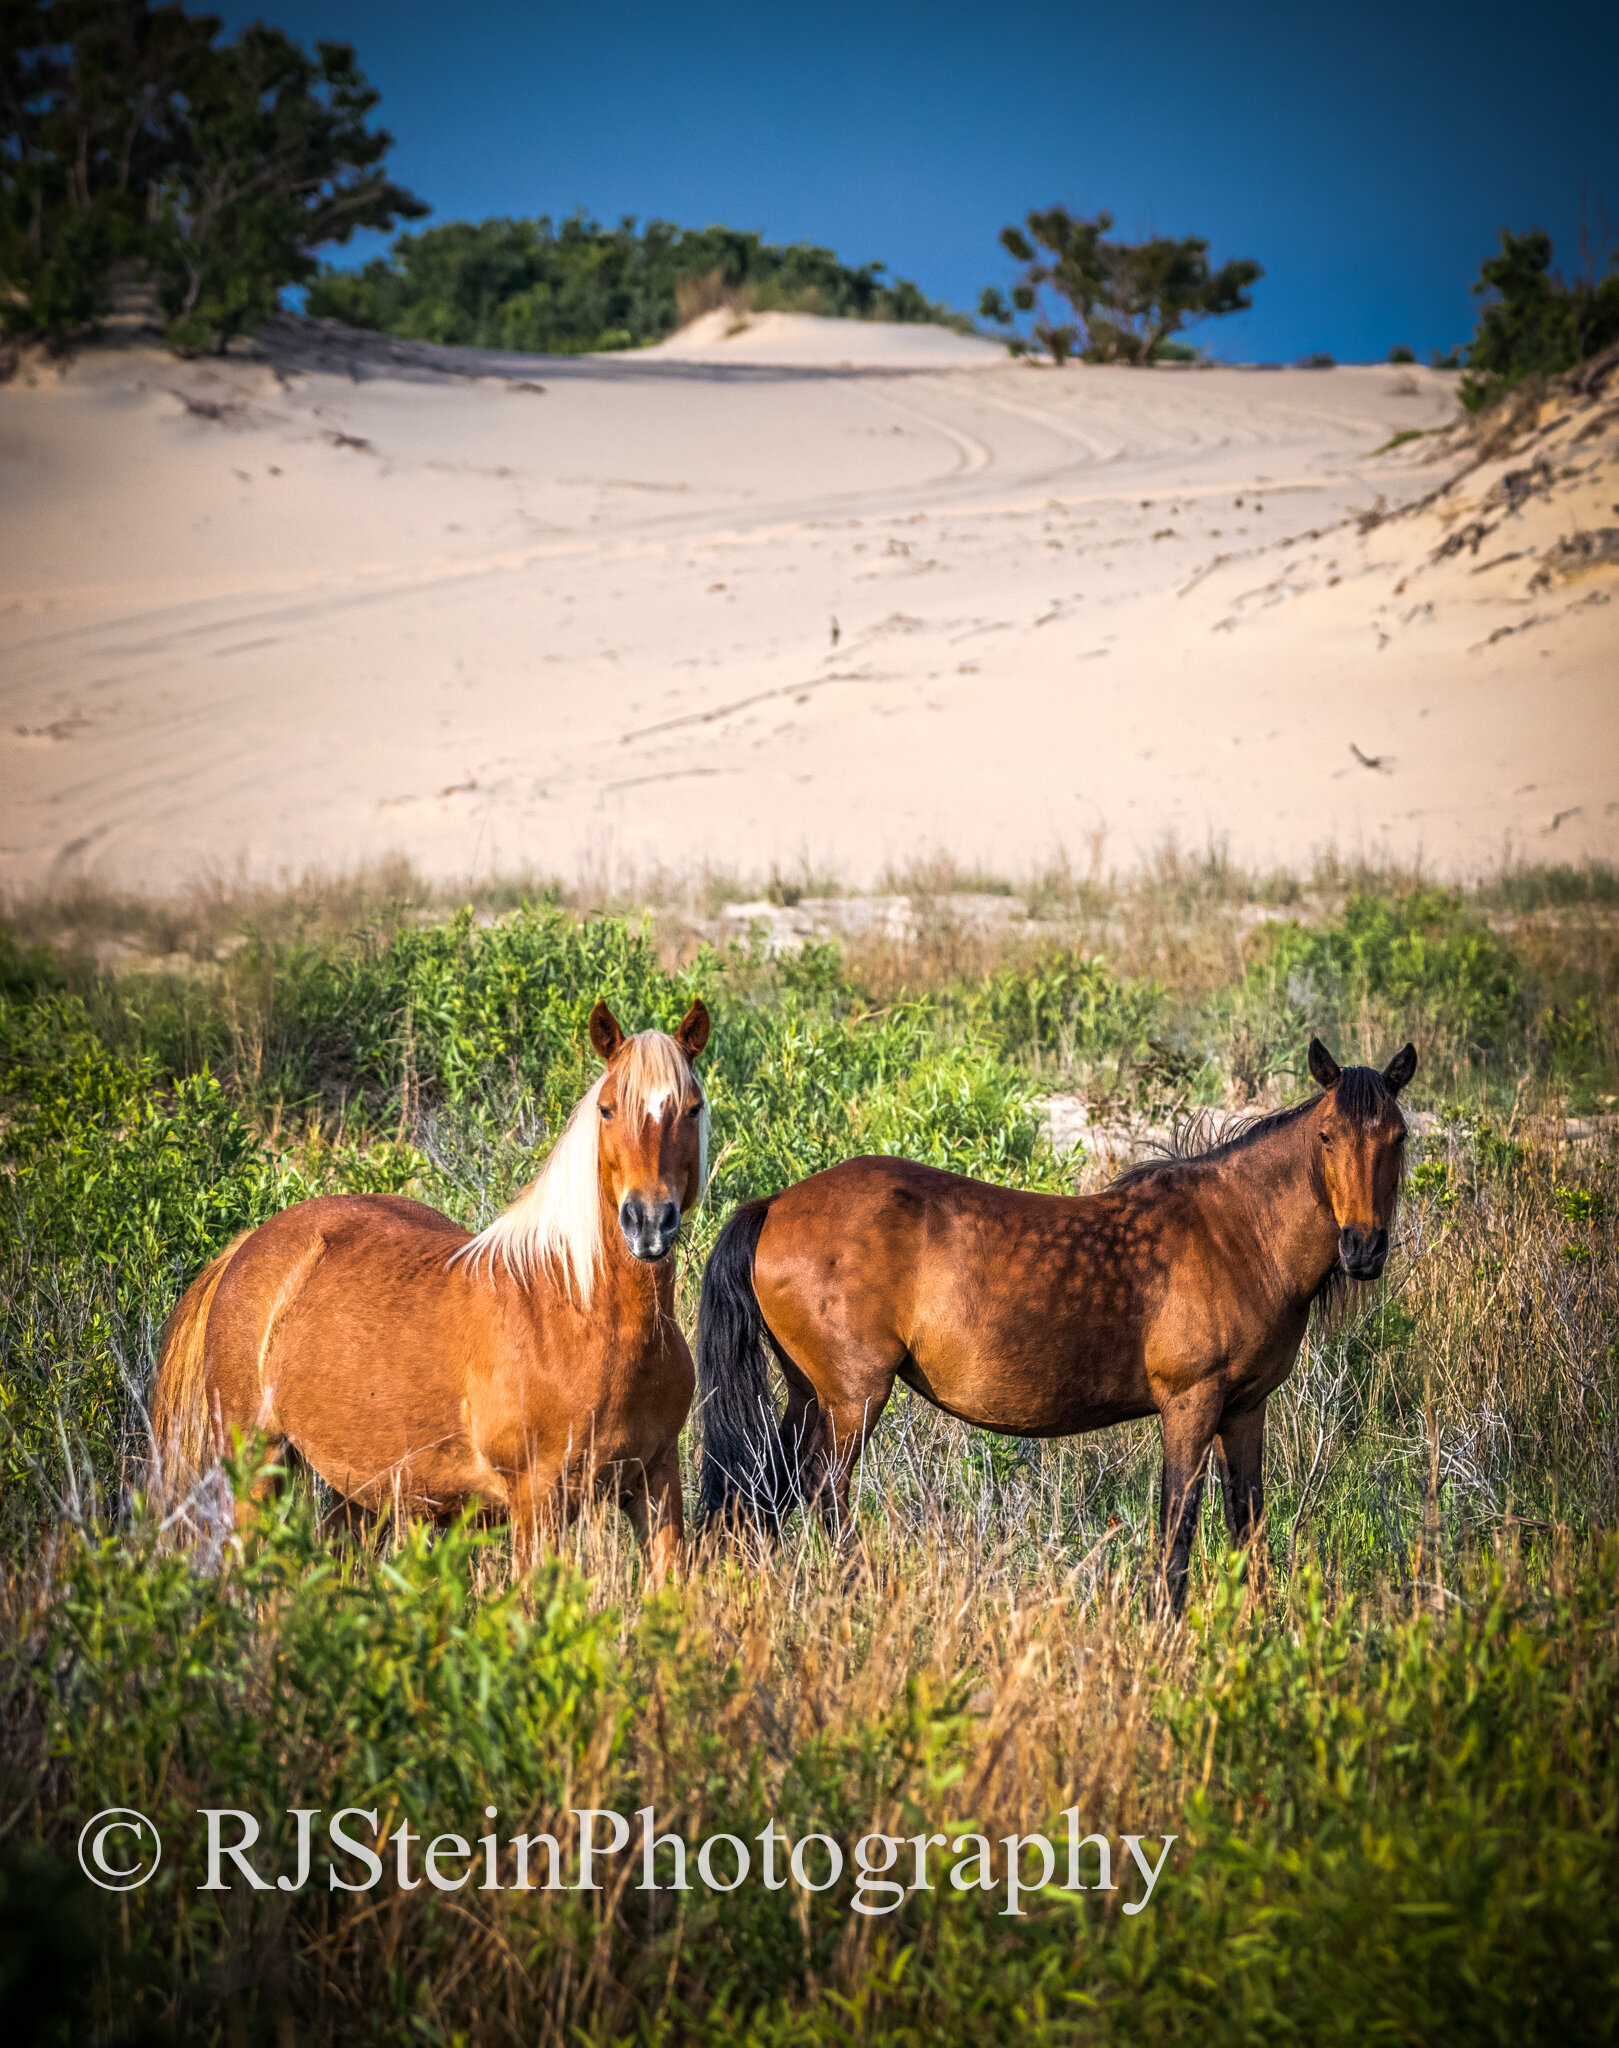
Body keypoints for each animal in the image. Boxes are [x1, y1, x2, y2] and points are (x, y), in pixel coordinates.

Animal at [155, 999, 712, 1572]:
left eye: (693, 1108)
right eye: (606, 1109)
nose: (648, 1222)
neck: (580, 1318)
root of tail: (248, 1245)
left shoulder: (657, 1484)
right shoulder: (538, 1503)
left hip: (363, 1491)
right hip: (257, 1466)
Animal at [695, 1032, 1416, 1605]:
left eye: (1398, 1136)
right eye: (1326, 1136)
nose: (1363, 1248)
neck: (1238, 1231)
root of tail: (775, 1205)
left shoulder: (1244, 1409)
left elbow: (1248, 1524)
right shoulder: (1191, 1403)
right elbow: (1176, 1526)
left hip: (807, 1393)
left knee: (768, 1489)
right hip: (852, 1397)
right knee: (823, 1489)